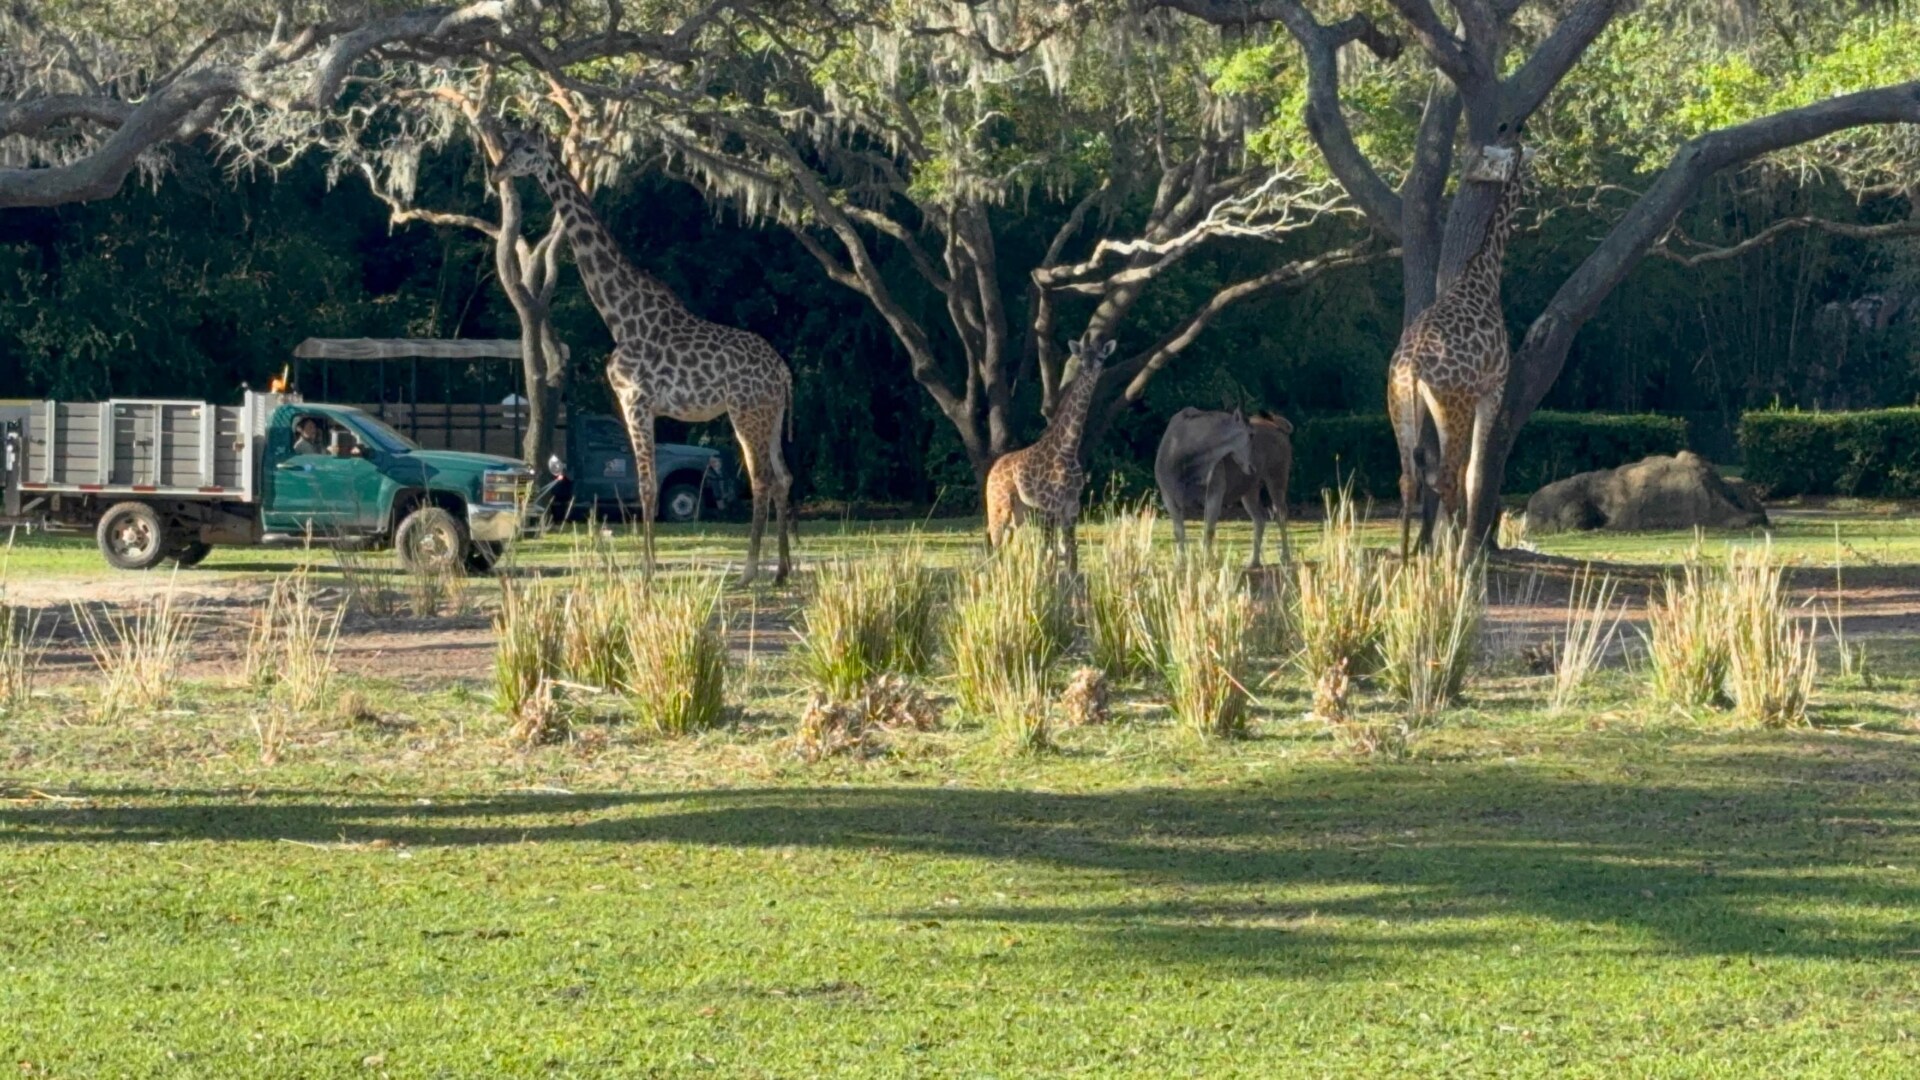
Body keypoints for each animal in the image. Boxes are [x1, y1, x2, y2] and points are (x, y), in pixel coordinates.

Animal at [491, 130, 794, 584]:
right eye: (510, 143)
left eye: (527, 150)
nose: (497, 172)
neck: (620, 316)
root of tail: (784, 373)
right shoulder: (636, 405)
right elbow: (640, 486)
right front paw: (647, 565)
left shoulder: (636, 401)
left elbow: (648, 487)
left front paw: (647, 570)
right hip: (770, 415)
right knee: (783, 477)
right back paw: (782, 570)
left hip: (746, 412)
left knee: (760, 479)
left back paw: (750, 572)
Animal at [984, 336, 1115, 570]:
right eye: (1082, 358)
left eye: (1101, 358)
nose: (1089, 370)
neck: (1069, 450)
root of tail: (993, 470)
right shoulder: (1049, 506)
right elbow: (1048, 552)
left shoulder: (1071, 507)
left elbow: (1070, 553)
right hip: (999, 505)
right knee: (996, 543)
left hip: (1020, 511)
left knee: (1006, 546)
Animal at [1388, 137, 1531, 559]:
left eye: (1487, 157)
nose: (1470, 172)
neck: (1483, 274)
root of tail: (1412, 367)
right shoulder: (1493, 387)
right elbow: (1477, 475)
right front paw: (1468, 552)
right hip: (1455, 404)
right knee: (1449, 475)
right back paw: (1454, 562)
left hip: (1399, 403)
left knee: (1409, 477)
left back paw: (1407, 559)